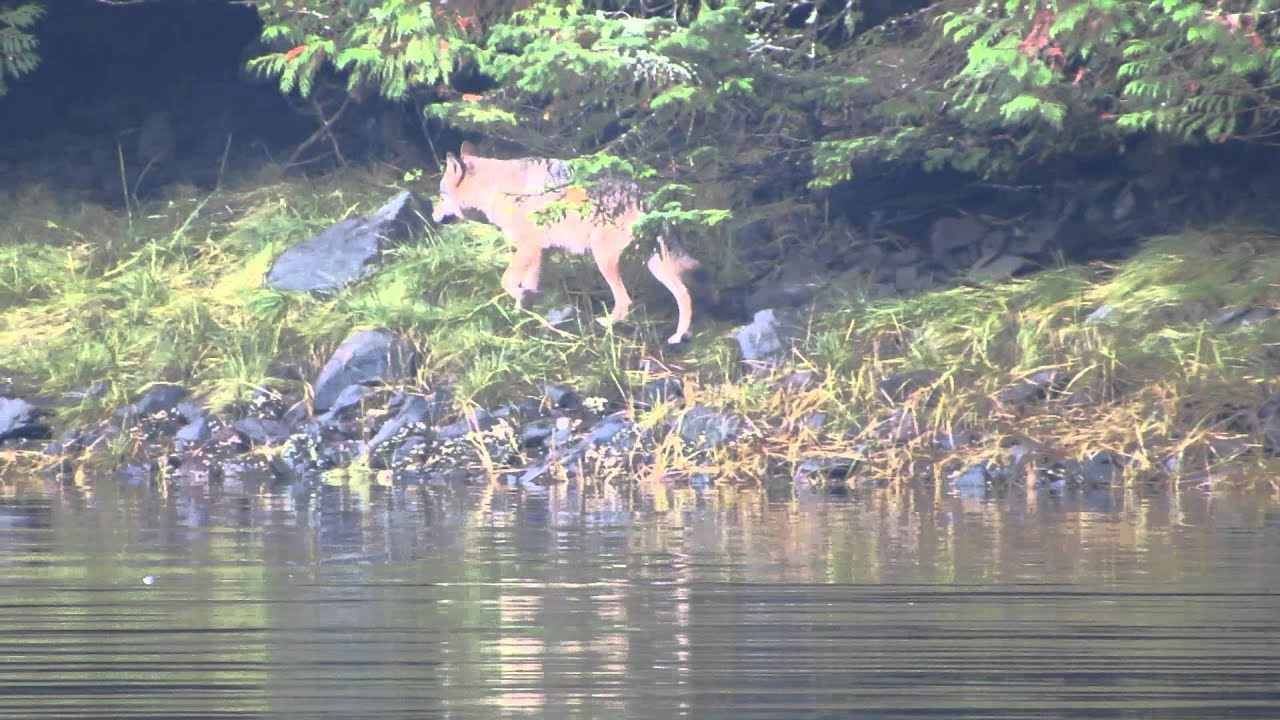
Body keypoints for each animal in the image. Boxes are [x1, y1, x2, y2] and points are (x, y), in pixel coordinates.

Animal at [430, 142, 700, 344]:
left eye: (441, 197)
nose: (433, 216)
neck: (497, 190)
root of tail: (645, 196)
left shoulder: (528, 247)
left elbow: (507, 281)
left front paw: (520, 300)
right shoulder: (539, 253)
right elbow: (530, 286)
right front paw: (523, 312)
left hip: (604, 259)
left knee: (626, 301)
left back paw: (608, 323)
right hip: (653, 262)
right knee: (684, 294)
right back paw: (679, 336)